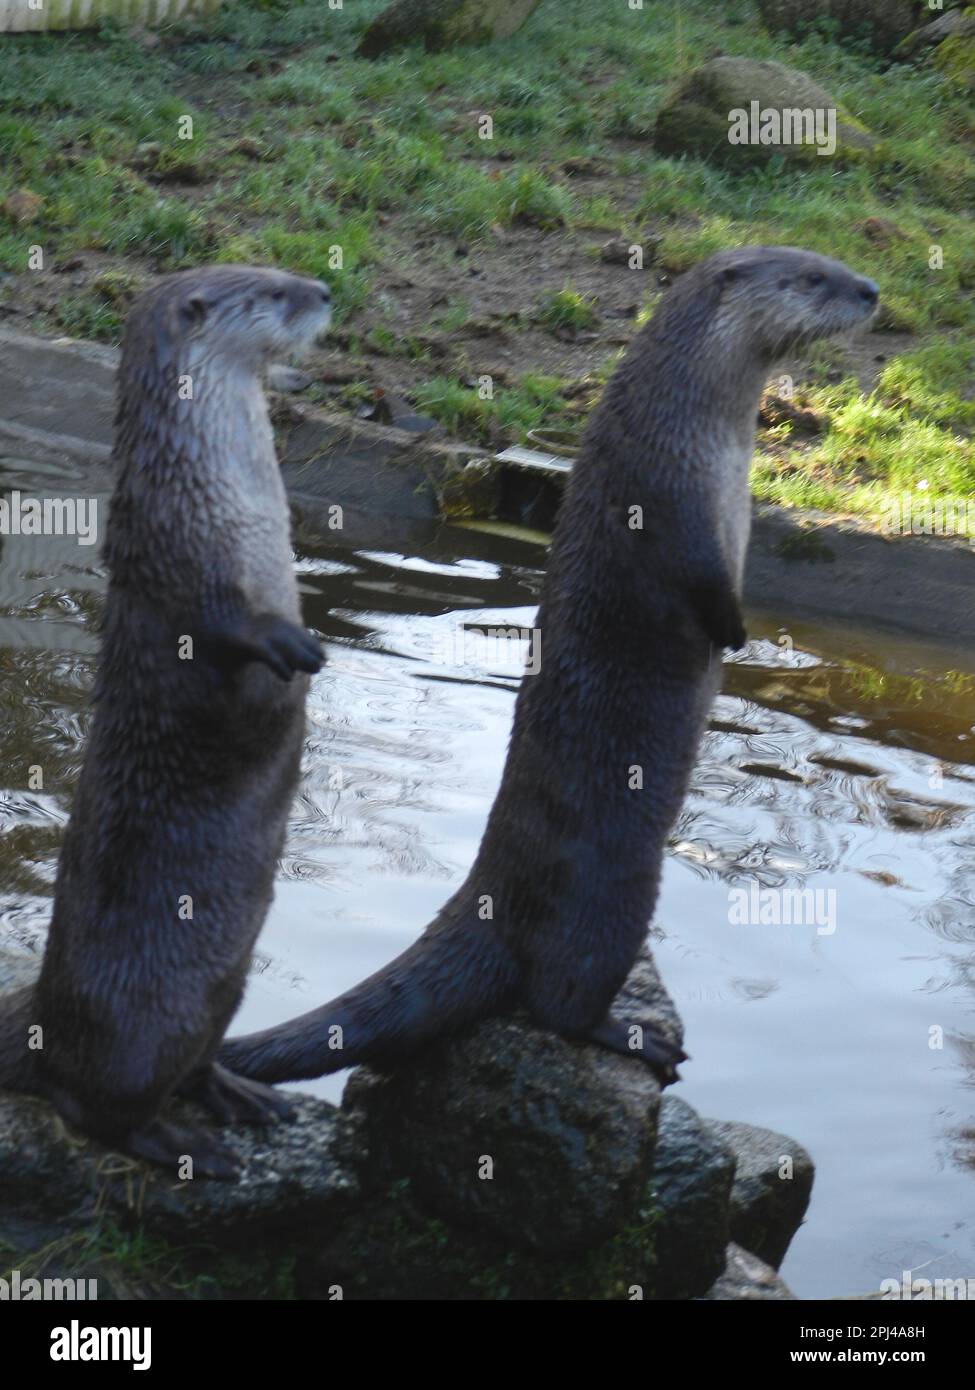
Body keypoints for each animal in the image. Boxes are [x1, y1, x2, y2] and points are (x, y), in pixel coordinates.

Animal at [0, 265, 331, 1177]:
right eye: (275, 291)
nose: (324, 290)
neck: (220, 499)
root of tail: (38, 1013)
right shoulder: (179, 561)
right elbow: (222, 626)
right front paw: (289, 642)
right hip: (136, 1020)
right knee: (94, 1103)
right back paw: (179, 1144)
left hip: (225, 988)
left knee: (195, 1059)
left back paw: (237, 1094)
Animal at [219, 246, 879, 1088]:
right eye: (809, 278)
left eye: (833, 265)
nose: (869, 291)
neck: (697, 433)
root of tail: (490, 893)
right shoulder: (668, 504)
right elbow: (701, 587)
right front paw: (733, 639)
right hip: (611, 894)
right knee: (555, 998)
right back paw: (632, 1033)